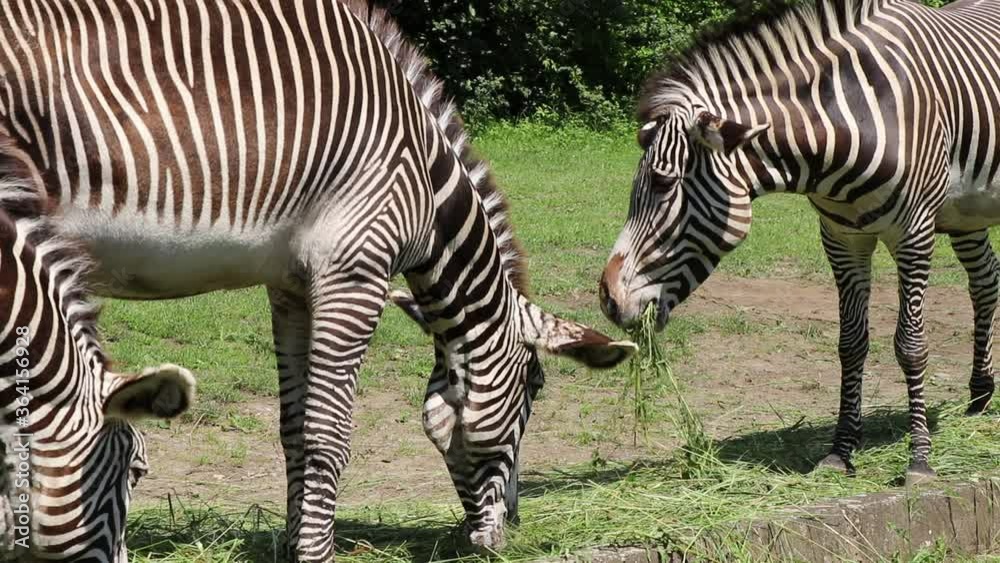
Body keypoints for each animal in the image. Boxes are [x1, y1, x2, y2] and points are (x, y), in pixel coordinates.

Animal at [600, 0, 1000, 485]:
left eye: (662, 184)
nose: (607, 298)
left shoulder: (915, 233)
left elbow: (911, 345)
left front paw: (919, 460)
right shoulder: (842, 237)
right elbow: (851, 344)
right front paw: (841, 451)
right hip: (965, 213)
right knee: (985, 282)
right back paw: (979, 395)